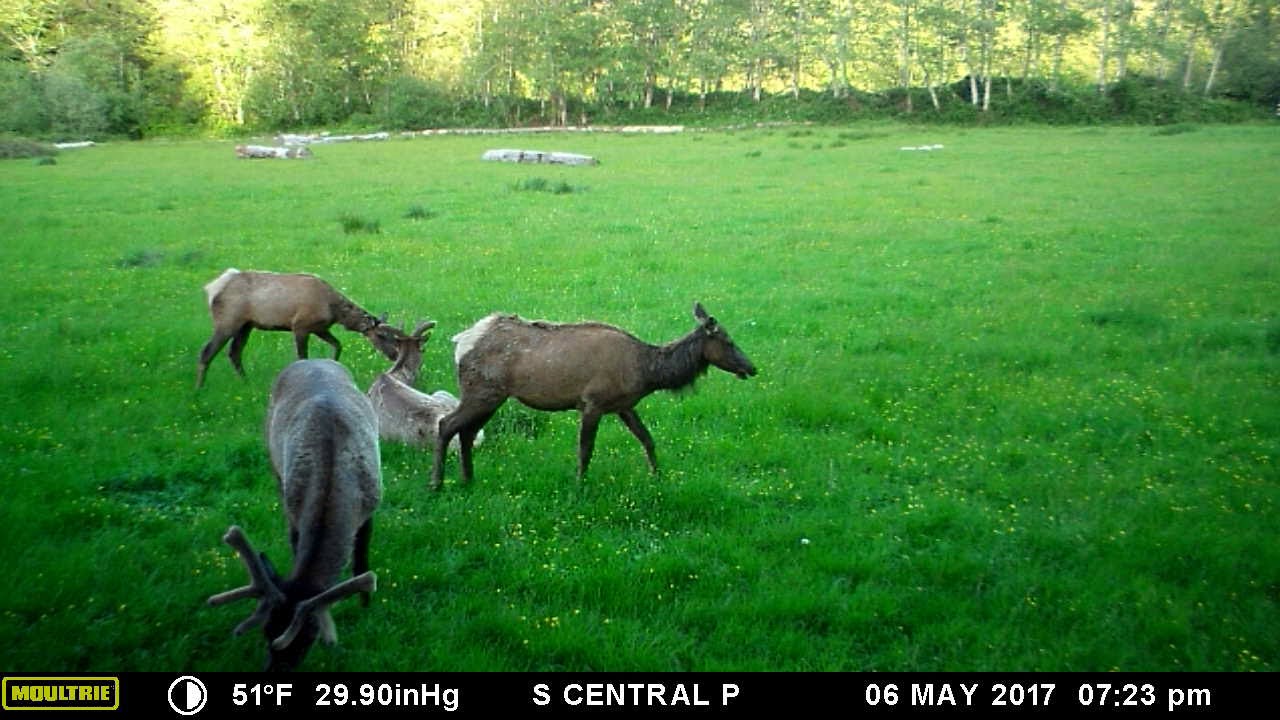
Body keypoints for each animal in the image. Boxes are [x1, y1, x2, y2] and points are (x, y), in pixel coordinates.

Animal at [196, 268, 403, 389]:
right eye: (382, 335)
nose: (394, 355)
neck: (334, 311)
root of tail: (212, 289)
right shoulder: (300, 325)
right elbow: (303, 356)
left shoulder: (320, 328)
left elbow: (338, 345)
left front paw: (334, 365)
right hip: (228, 321)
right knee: (207, 351)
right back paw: (199, 388)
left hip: (246, 325)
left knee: (234, 352)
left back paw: (246, 382)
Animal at [208, 359, 382, 671]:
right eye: (266, 631)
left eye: (305, 641)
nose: (271, 672)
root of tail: (311, 359)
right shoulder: (294, 509)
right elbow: (295, 542)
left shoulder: (370, 505)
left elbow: (361, 560)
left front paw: (365, 603)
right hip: (273, 460)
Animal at [431, 302, 757, 489]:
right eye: (729, 341)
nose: (752, 368)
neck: (647, 373)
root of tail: (461, 342)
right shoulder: (593, 402)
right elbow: (585, 449)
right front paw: (579, 485)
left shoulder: (624, 405)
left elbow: (647, 439)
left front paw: (657, 476)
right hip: (482, 390)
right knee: (447, 425)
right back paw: (437, 483)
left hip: (491, 396)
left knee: (467, 431)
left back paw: (468, 479)